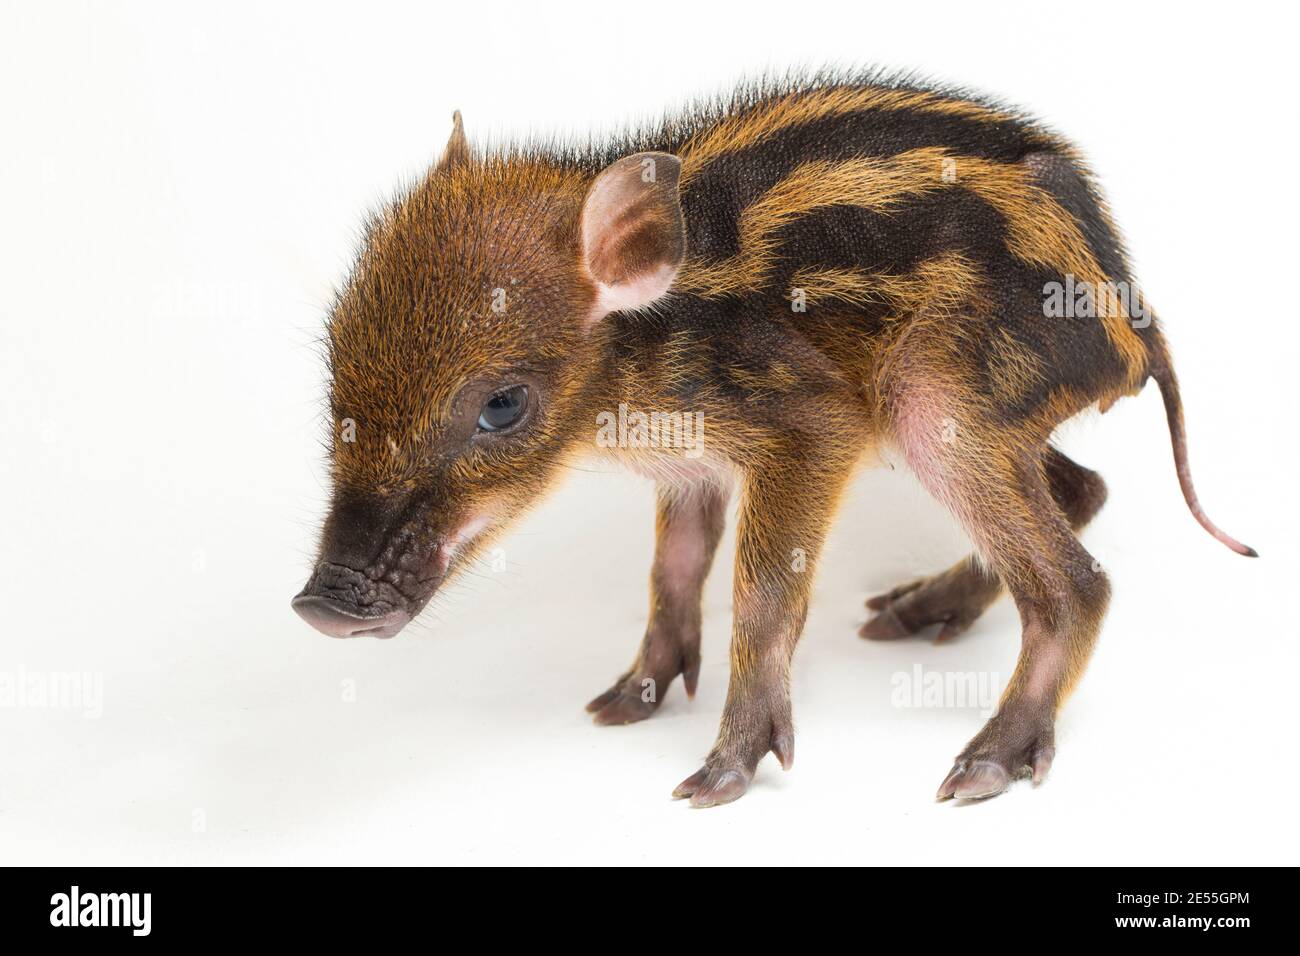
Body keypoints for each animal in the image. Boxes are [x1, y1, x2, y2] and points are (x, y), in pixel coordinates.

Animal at [293, 72, 1255, 807]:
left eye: (501, 404)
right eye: (332, 358)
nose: (324, 605)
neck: (637, 356)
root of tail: (1135, 330)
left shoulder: (811, 424)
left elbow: (761, 593)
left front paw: (718, 777)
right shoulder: (690, 463)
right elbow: (674, 570)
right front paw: (624, 702)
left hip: (933, 399)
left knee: (1075, 583)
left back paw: (982, 764)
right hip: (986, 419)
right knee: (1086, 489)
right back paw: (911, 615)